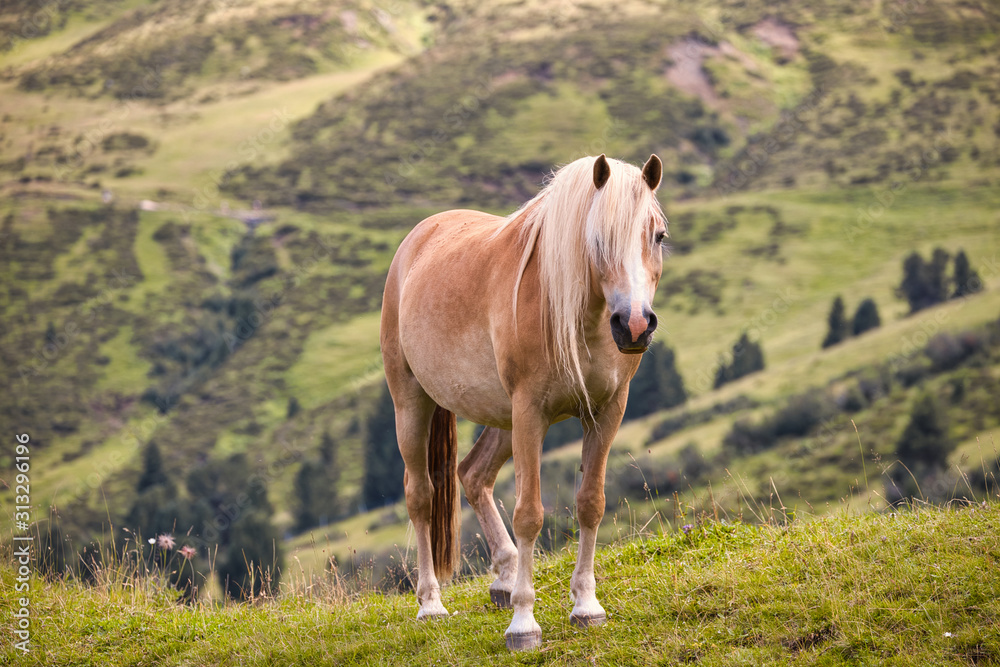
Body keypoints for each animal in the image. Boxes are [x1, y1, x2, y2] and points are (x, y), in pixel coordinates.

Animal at [379, 153, 667, 651]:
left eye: (659, 236)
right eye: (597, 239)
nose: (633, 325)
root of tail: (419, 236)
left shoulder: (607, 412)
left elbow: (591, 502)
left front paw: (586, 606)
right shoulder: (531, 411)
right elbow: (529, 514)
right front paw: (524, 623)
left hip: (502, 418)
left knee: (472, 475)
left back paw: (505, 577)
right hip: (413, 404)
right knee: (421, 495)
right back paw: (432, 604)